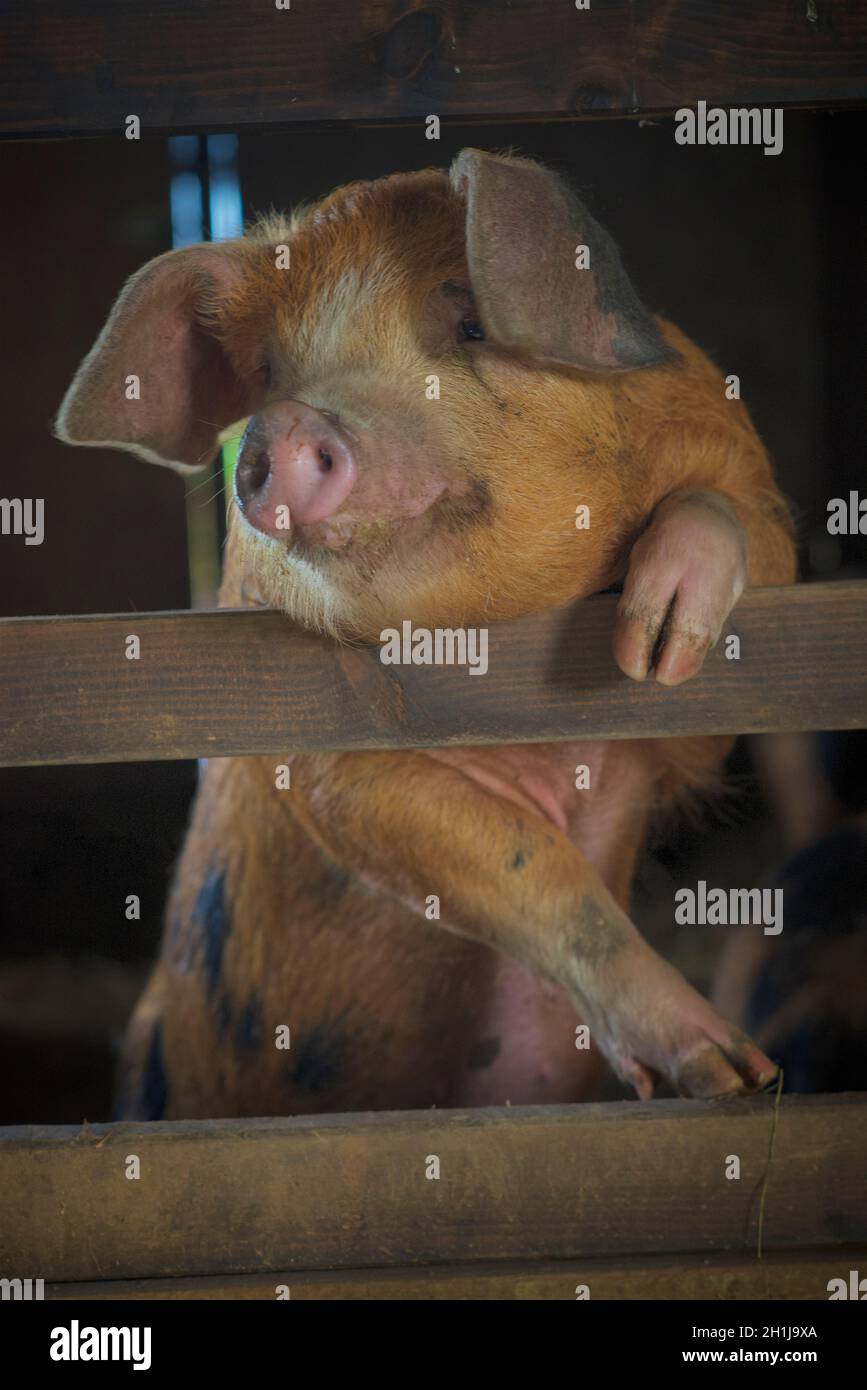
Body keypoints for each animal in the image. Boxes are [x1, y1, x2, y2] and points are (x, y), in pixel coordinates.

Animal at [56, 149, 796, 1119]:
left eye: (471, 325)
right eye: (267, 373)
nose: (287, 425)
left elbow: (734, 537)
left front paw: (652, 645)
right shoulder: (335, 771)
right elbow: (538, 873)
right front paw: (731, 1075)